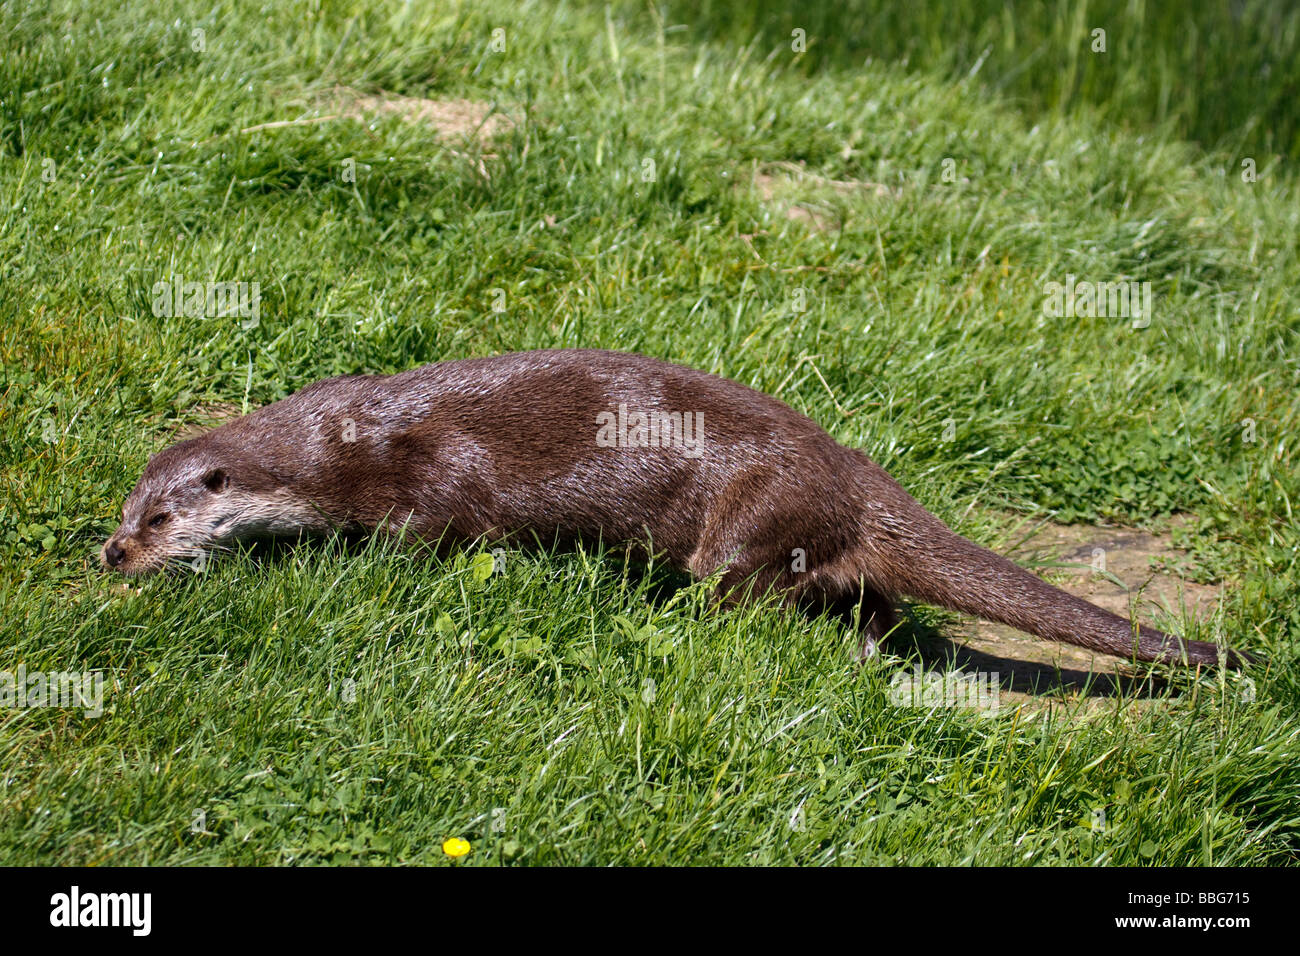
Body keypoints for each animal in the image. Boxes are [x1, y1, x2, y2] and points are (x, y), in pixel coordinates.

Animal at [102, 349, 1247, 668]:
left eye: (159, 520)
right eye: (122, 511)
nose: (115, 555)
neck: (341, 445)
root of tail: (855, 471)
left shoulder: (431, 477)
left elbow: (433, 532)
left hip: (753, 511)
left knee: (746, 588)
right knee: (866, 596)